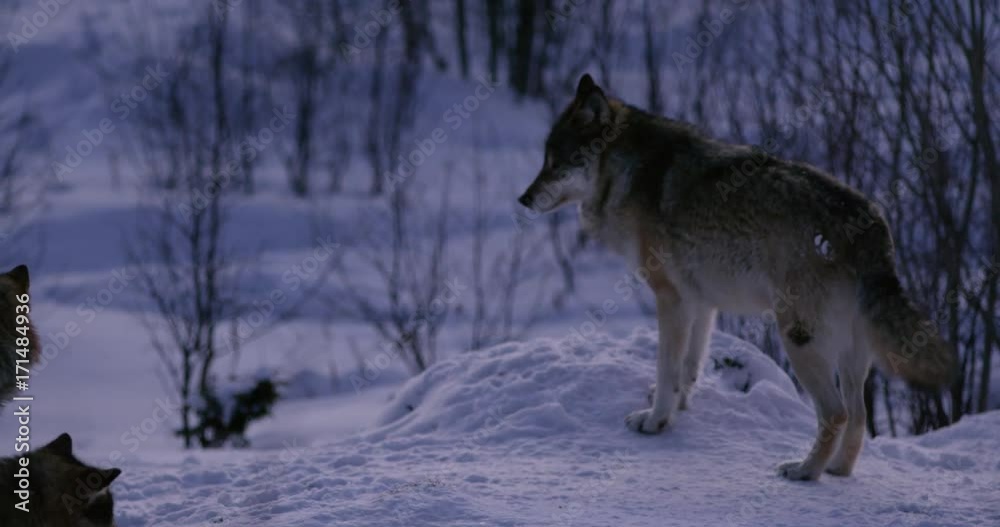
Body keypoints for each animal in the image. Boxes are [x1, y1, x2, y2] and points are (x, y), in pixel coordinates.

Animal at [518, 74, 957, 480]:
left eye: (555, 163)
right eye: (544, 161)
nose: (523, 199)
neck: (629, 172)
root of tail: (871, 224)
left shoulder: (671, 298)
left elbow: (667, 367)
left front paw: (655, 422)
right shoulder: (700, 303)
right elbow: (689, 368)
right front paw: (677, 410)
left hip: (798, 338)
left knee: (836, 414)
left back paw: (804, 472)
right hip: (849, 353)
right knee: (860, 414)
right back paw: (837, 471)